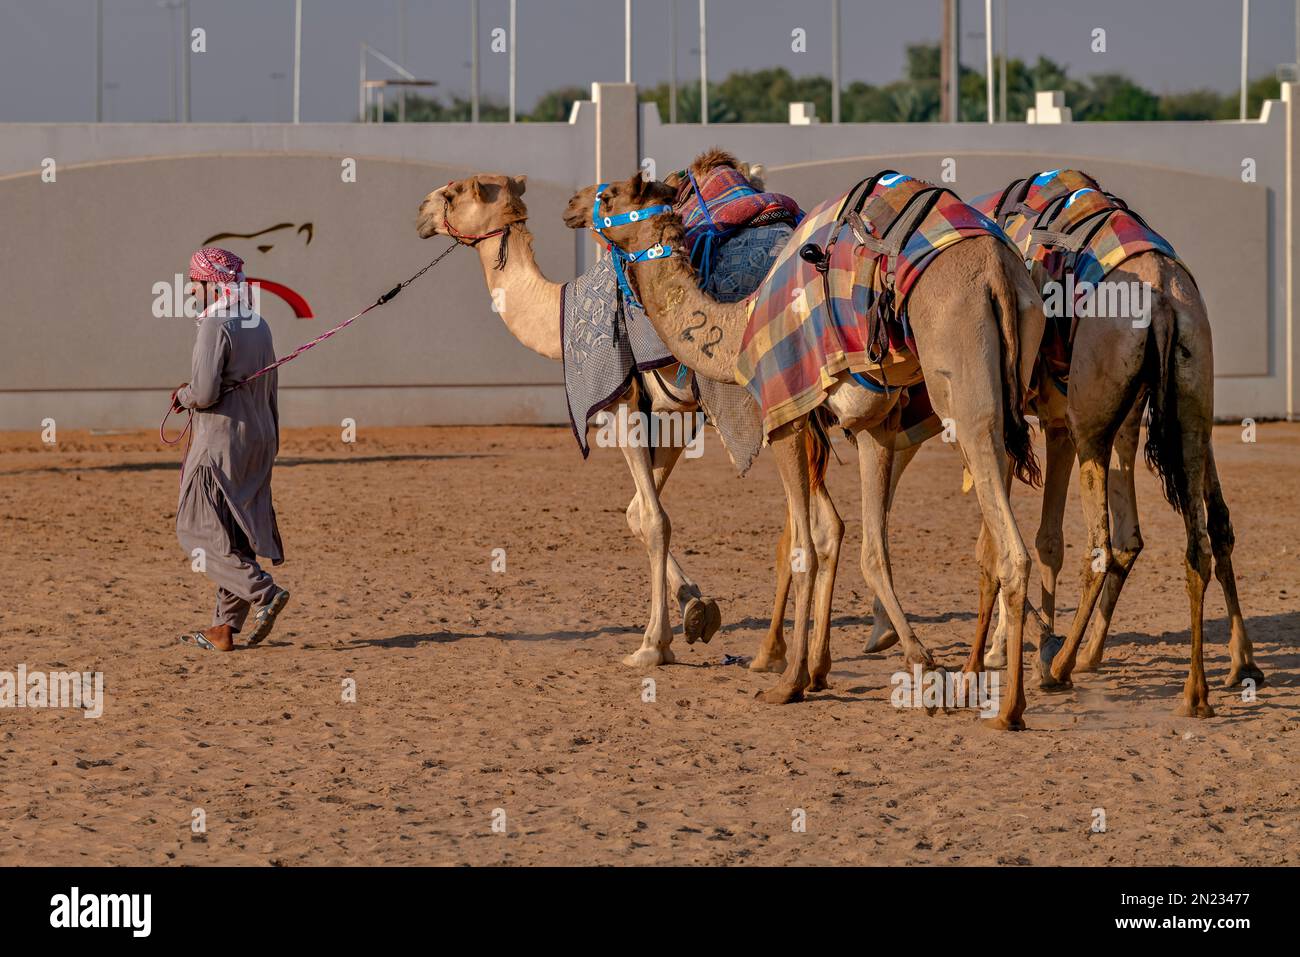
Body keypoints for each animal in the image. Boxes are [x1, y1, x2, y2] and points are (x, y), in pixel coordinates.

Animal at [416, 173, 721, 668]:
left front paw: (652, 646)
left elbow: (654, 518)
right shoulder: (678, 412)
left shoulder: (623, 402)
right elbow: (637, 513)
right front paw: (697, 611)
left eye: (454, 192)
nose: (420, 211)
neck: (559, 313)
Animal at [565, 171, 1047, 730]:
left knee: (1011, 545)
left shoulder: (787, 418)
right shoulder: (874, 423)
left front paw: (790, 680)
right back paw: (988, 679)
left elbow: (804, 549)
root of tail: (996, 270)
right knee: (995, 534)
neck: (737, 325)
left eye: (608, 196)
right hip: (1012, 387)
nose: (573, 205)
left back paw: (1008, 708)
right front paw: (914, 664)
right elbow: (870, 549)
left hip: (963, 387)